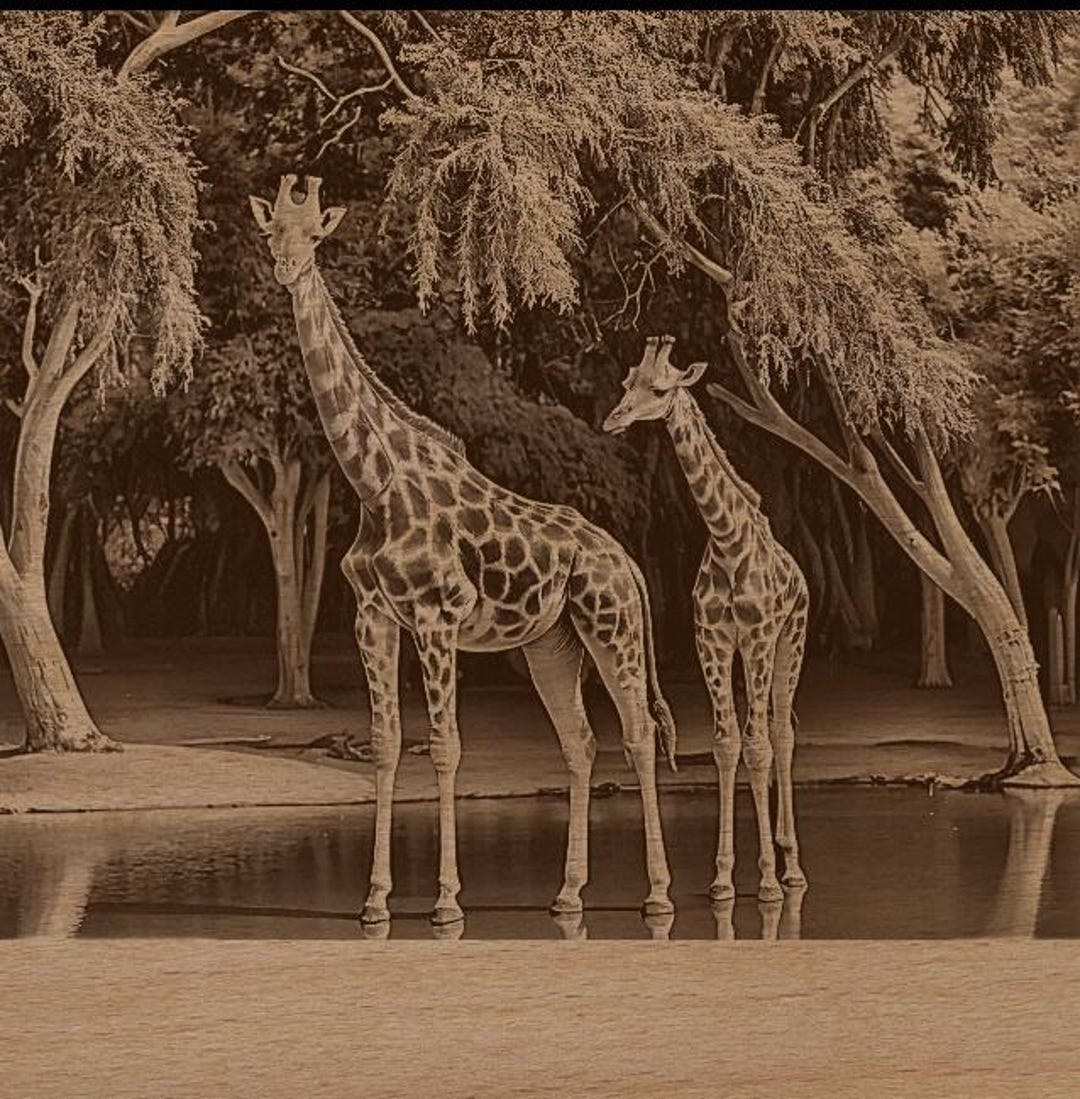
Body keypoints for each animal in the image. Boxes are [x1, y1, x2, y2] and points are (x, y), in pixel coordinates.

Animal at [249, 175, 675, 925]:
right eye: (272, 232)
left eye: (315, 235)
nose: (287, 269)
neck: (375, 480)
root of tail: (629, 563)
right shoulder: (373, 615)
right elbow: (386, 744)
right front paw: (375, 900)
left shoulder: (437, 617)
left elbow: (445, 747)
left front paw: (446, 900)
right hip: (551, 642)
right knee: (581, 741)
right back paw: (567, 895)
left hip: (613, 626)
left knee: (639, 733)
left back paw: (656, 895)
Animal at [603, 334, 809, 903]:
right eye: (626, 381)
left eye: (660, 388)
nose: (613, 419)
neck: (727, 540)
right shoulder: (711, 642)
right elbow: (724, 744)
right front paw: (721, 878)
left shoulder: (758, 638)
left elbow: (758, 746)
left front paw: (766, 879)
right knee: (763, 731)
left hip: (792, 638)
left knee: (781, 732)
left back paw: (791, 866)